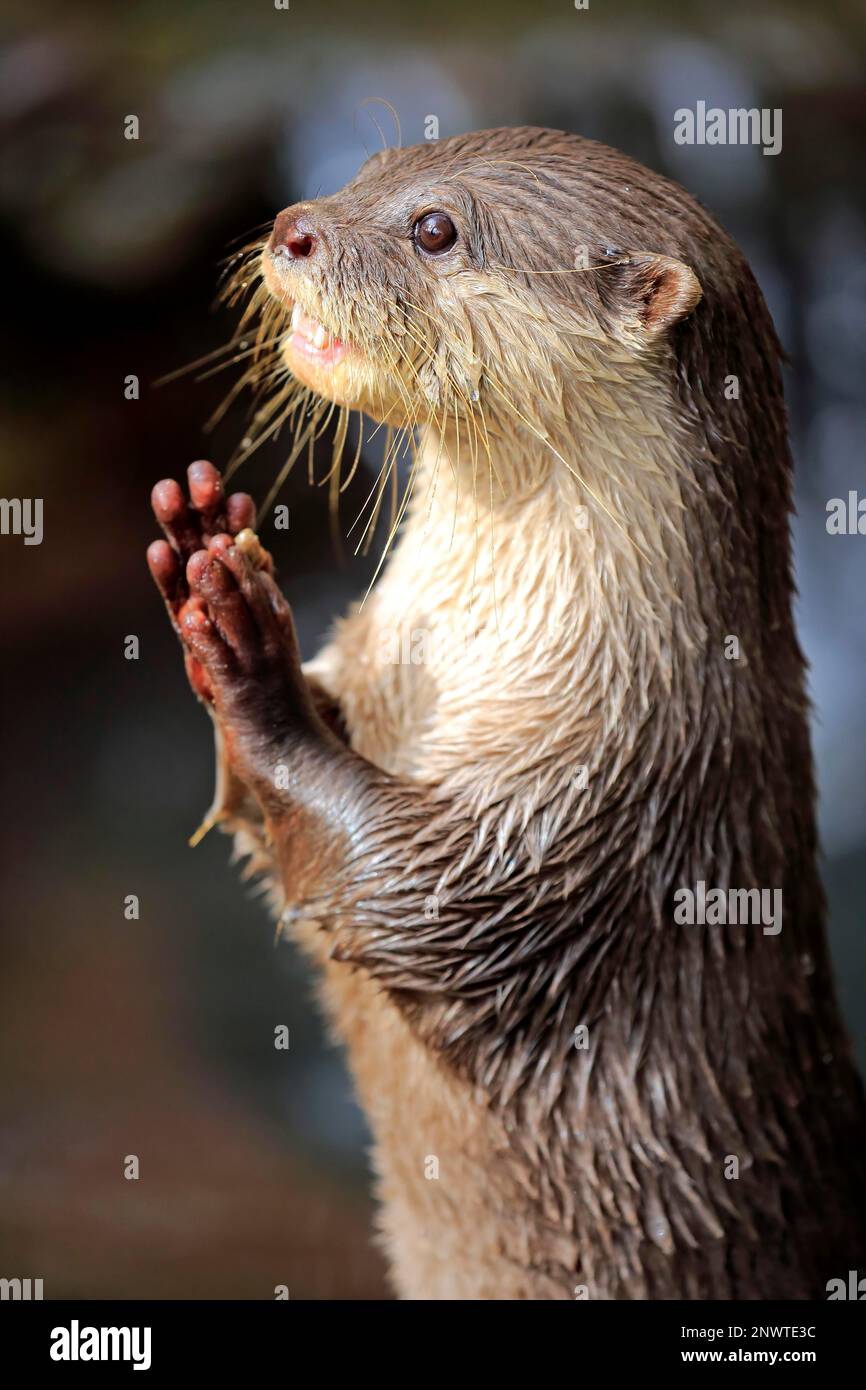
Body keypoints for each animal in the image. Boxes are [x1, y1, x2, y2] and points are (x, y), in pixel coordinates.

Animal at [147, 127, 866, 1299]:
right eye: (371, 167)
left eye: (436, 228)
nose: (295, 225)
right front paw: (202, 549)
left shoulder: (591, 794)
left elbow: (423, 898)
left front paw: (251, 659)